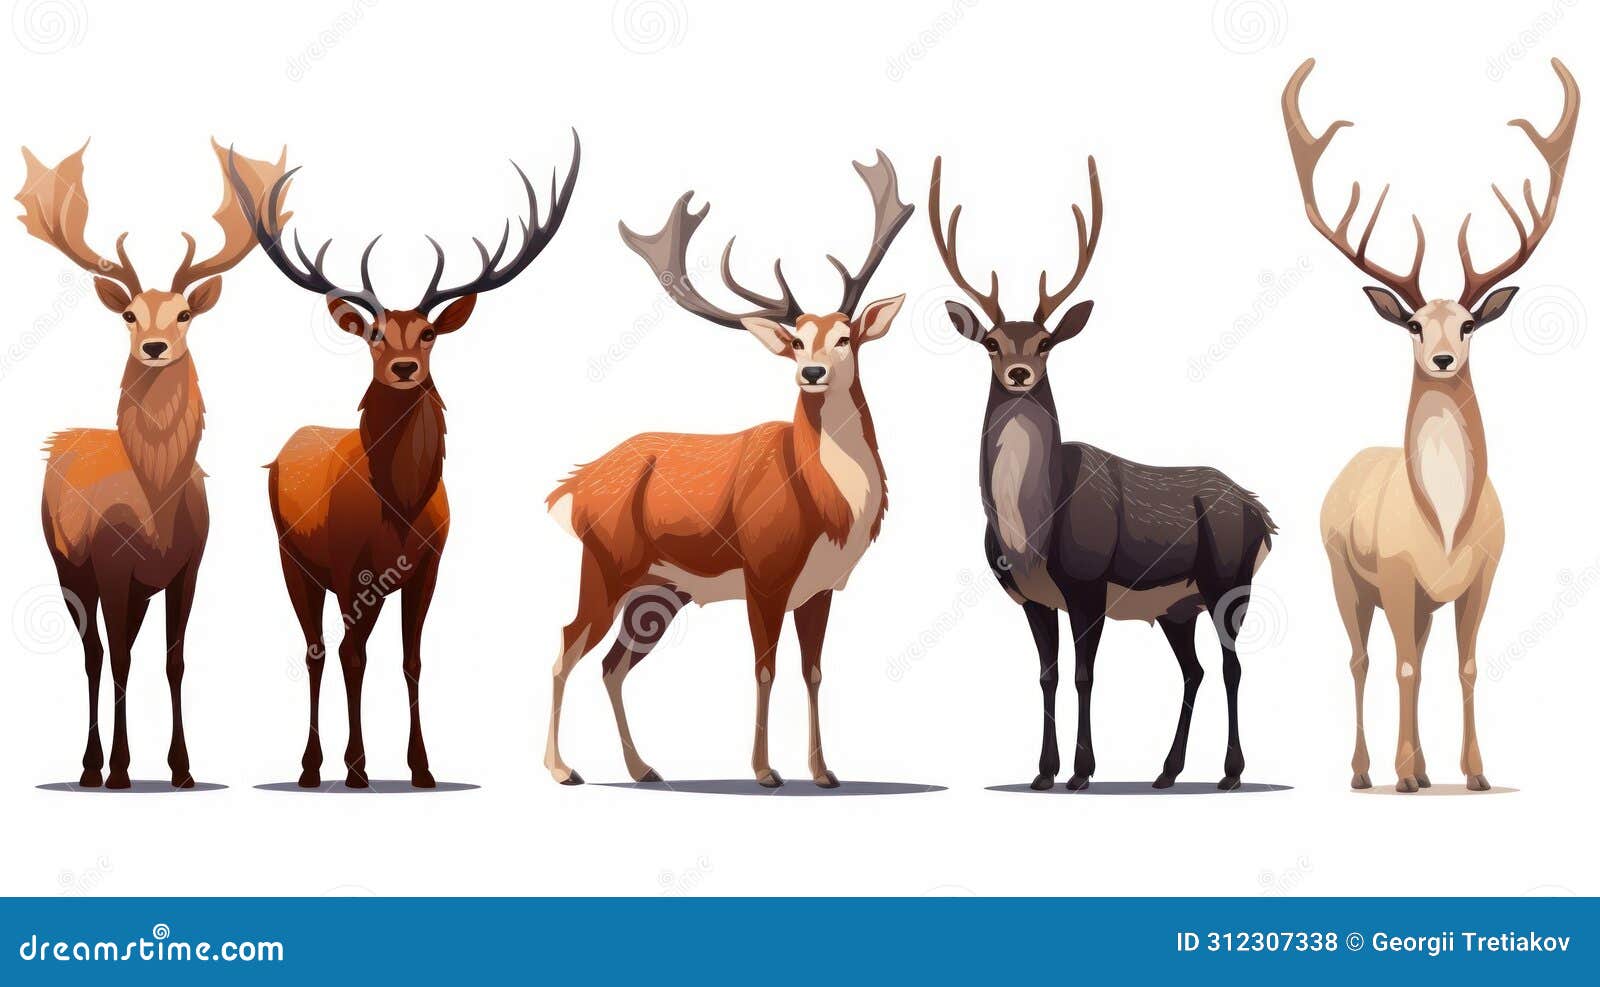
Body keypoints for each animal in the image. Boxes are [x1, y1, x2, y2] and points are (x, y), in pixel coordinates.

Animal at [16, 139, 288, 789]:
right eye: (129, 315)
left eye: (185, 312)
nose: (155, 347)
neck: (156, 506)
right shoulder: (113, 564)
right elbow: (117, 659)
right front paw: (119, 769)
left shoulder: (188, 566)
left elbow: (174, 660)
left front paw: (183, 768)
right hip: (67, 565)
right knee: (94, 655)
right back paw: (91, 766)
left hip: (137, 588)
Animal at [232, 136, 580, 789]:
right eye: (373, 333)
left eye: (428, 334)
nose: (403, 367)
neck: (397, 505)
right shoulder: (352, 570)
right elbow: (354, 655)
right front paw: (357, 767)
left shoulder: (428, 567)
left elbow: (412, 660)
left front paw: (421, 766)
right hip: (293, 559)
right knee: (318, 650)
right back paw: (313, 766)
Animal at [543, 152, 911, 788]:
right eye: (796, 342)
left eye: (846, 336)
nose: (812, 373)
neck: (829, 507)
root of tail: (573, 487)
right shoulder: (765, 572)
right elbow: (764, 668)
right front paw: (764, 771)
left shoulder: (819, 587)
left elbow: (813, 672)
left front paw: (824, 771)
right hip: (606, 562)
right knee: (566, 644)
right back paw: (561, 768)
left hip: (660, 591)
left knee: (613, 663)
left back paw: (643, 767)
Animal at [930, 156, 1277, 792]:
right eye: (991, 341)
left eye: (1046, 341)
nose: (1019, 372)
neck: (1032, 535)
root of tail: (1261, 513)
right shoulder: (1033, 598)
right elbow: (1047, 675)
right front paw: (1042, 772)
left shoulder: (1088, 584)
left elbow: (1084, 676)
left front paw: (1081, 772)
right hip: (1176, 606)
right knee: (1193, 670)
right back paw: (1166, 771)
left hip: (1229, 580)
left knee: (1231, 665)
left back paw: (1230, 773)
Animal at [1284, 58, 1579, 793]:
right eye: (1415, 324)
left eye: (1469, 323)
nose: (1443, 357)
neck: (1443, 526)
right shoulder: (1394, 573)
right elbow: (1404, 666)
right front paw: (1406, 775)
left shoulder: (1482, 574)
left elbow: (1466, 664)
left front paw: (1475, 772)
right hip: (1347, 576)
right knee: (1363, 659)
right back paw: (1368, 771)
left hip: (1415, 601)